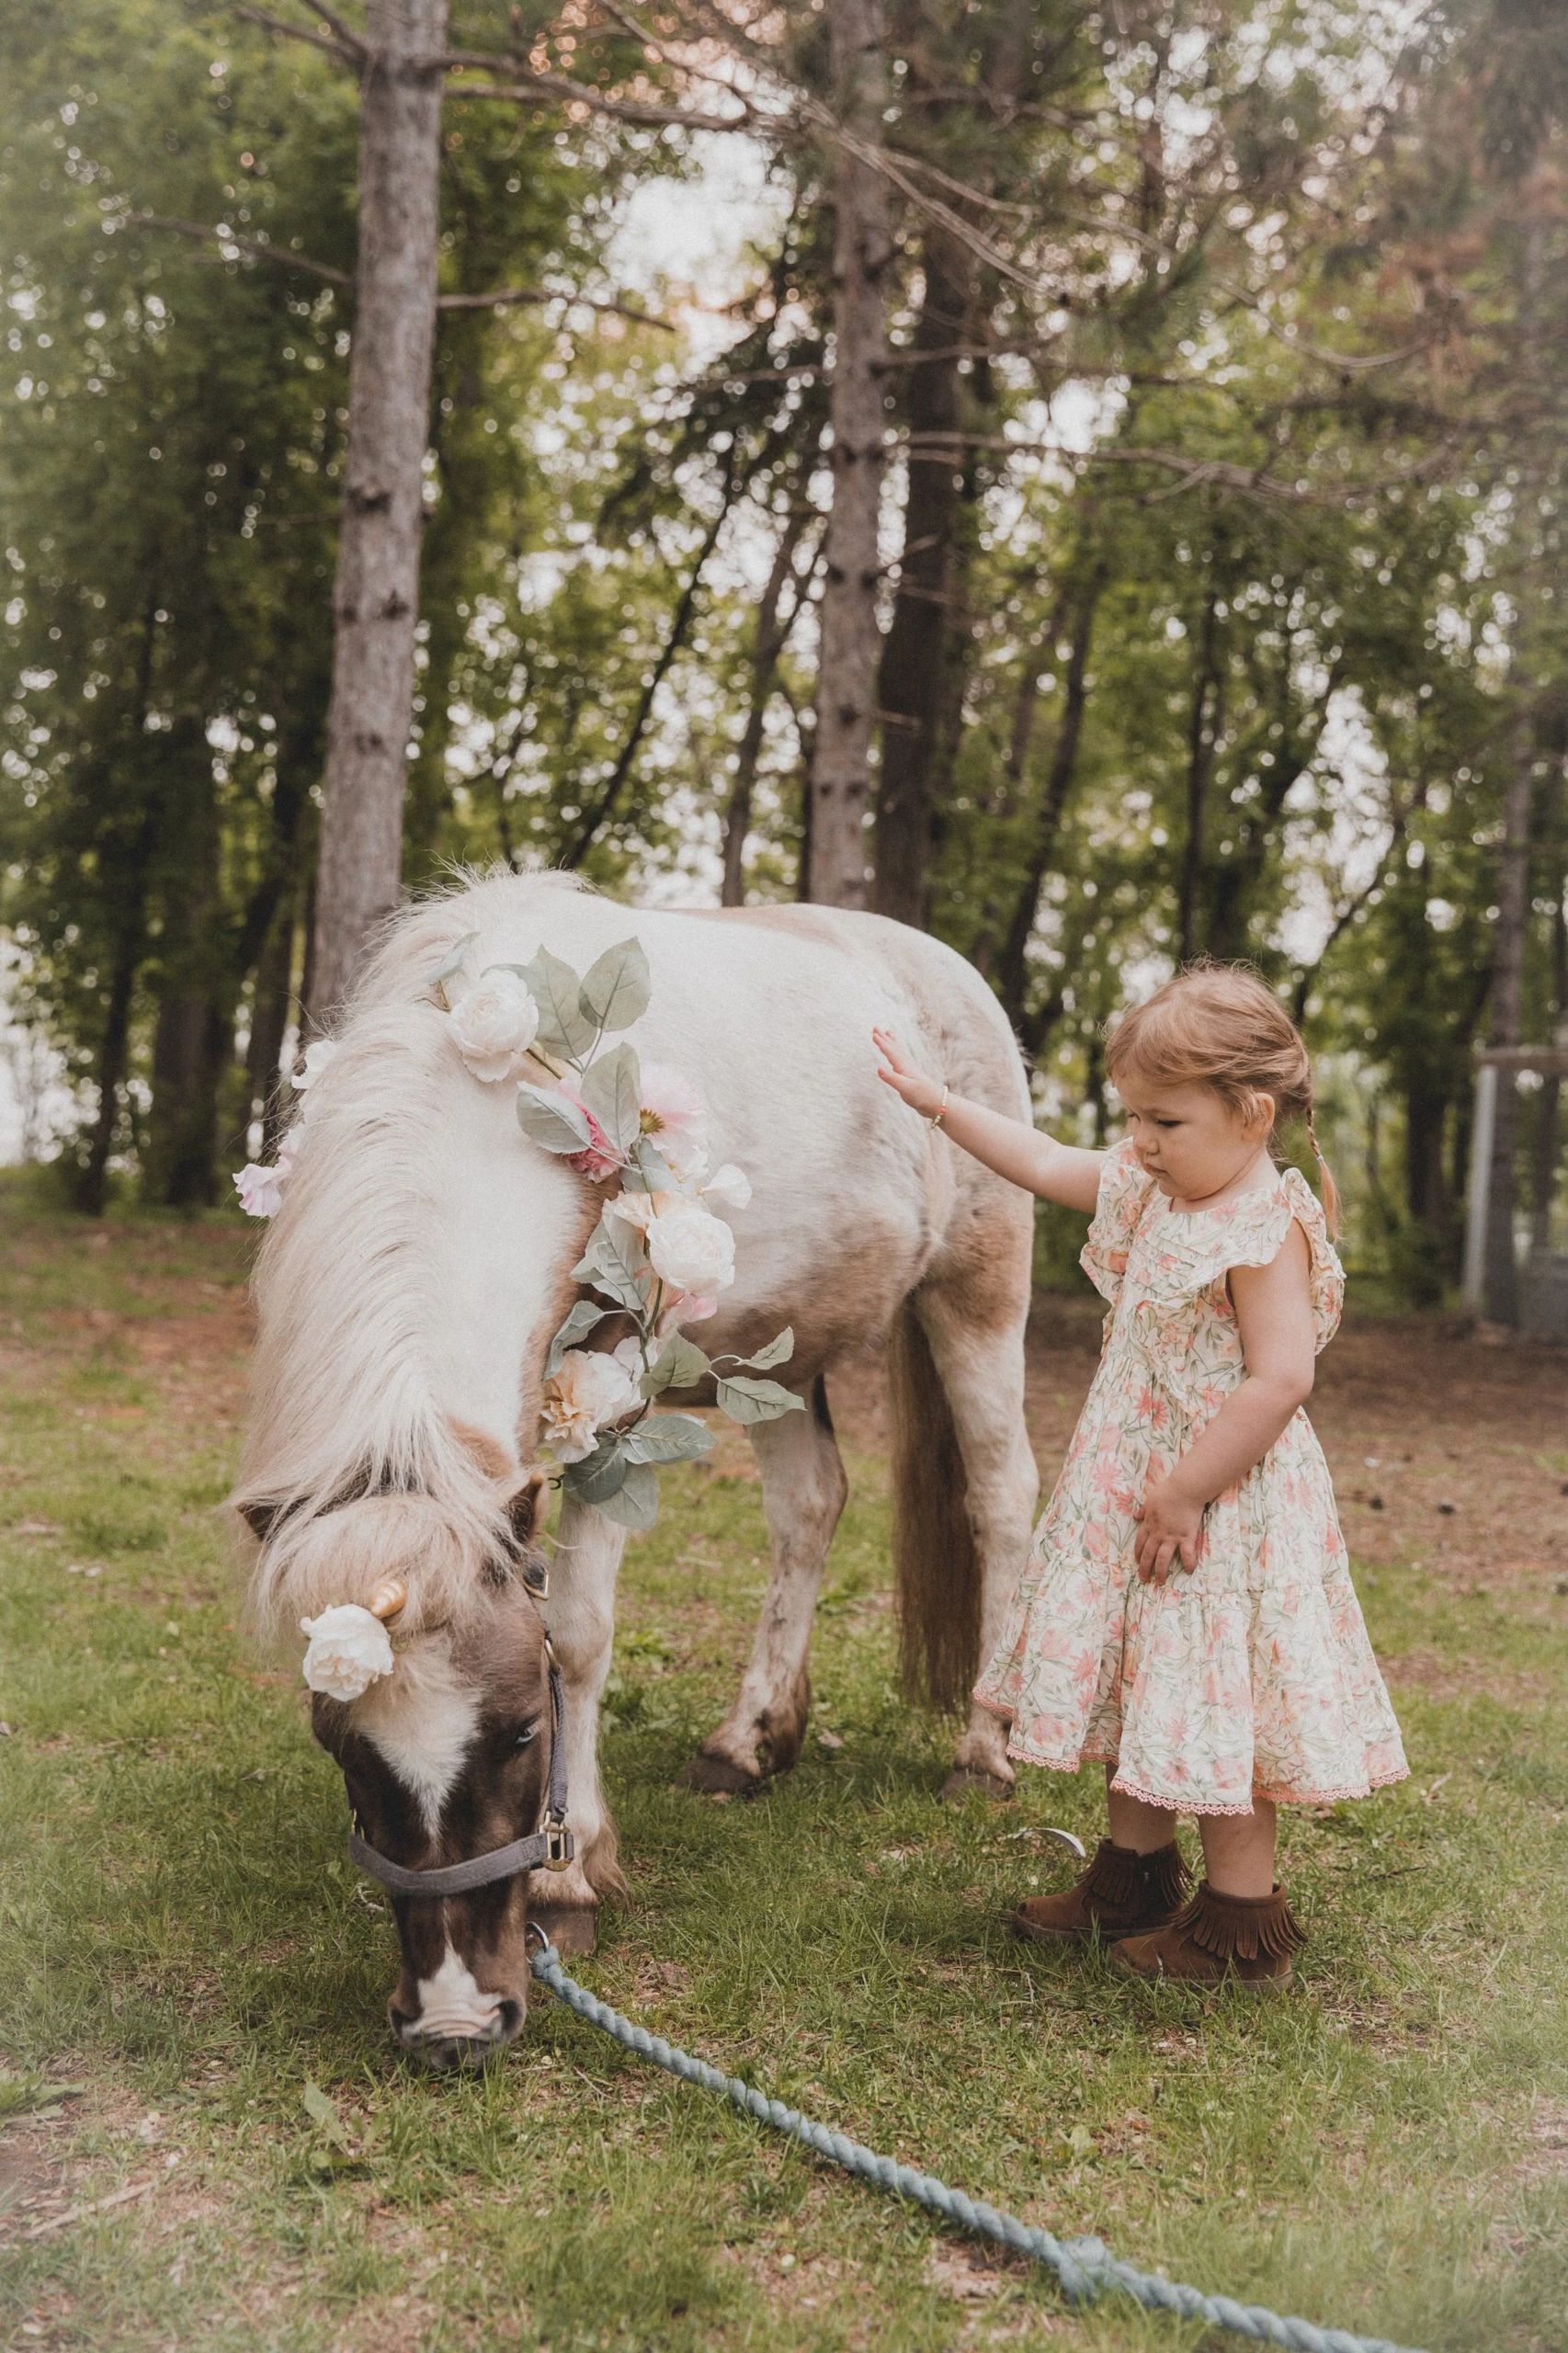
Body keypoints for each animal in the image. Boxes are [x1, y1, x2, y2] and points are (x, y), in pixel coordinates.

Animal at [234, 869, 1039, 2062]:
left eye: (522, 1728)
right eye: (343, 1747)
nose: (456, 2023)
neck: (509, 1083)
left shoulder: (613, 1385)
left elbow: (577, 1632)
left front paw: (573, 1876)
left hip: (976, 1298)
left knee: (1000, 1497)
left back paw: (982, 1753)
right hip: (776, 1354)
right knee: (810, 1507)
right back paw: (747, 1743)